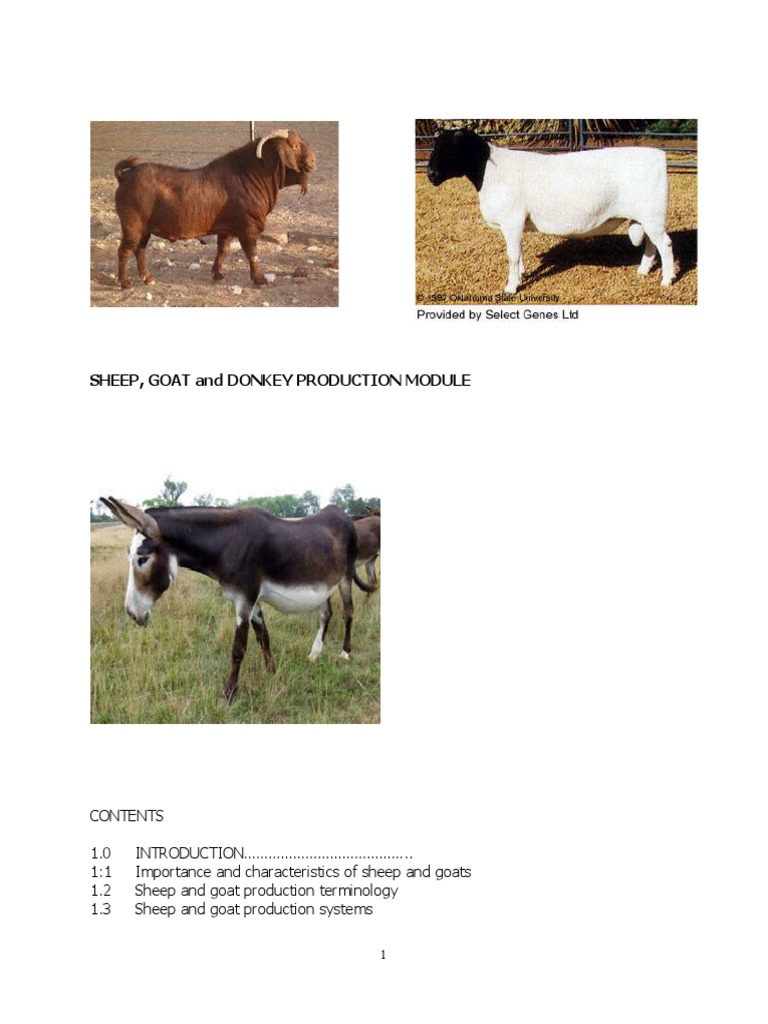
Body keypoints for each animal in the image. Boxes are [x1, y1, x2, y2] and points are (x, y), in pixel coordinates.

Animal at [100, 499, 376, 702]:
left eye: (142, 558)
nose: (132, 613)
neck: (227, 542)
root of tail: (341, 514)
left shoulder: (245, 599)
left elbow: (237, 649)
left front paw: (229, 693)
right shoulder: (251, 601)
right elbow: (264, 637)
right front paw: (271, 673)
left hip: (345, 576)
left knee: (348, 612)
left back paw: (344, 652)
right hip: (323, 583)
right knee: (326, 614)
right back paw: (315, 653)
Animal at [114, 129, 316, 289]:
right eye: (294, 145)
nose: (314, 160)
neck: (250, 175)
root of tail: (124, 176)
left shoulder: (227, 229)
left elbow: (222, 250)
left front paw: (217, 275)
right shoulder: (248, 227)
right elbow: (252, 253)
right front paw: (259, 280)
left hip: (145, 229)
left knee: (139, 249)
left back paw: (148, 278)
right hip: (132, 225)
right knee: (125, 250)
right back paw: (125, 283)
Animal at [426, 129, 675, 293]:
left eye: (454, 147)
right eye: (436, 146)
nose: (430, 174)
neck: (489, 172)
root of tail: (658, 155)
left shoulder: (512, 219)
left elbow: (512, 254)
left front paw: (511, 286)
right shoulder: (517, 223)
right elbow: (519, 251)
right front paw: (521, 274)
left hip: (652, 213)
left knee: (665, 244)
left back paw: (667, 279)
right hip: (647, 215)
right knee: (652, 244)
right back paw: (643, 270)